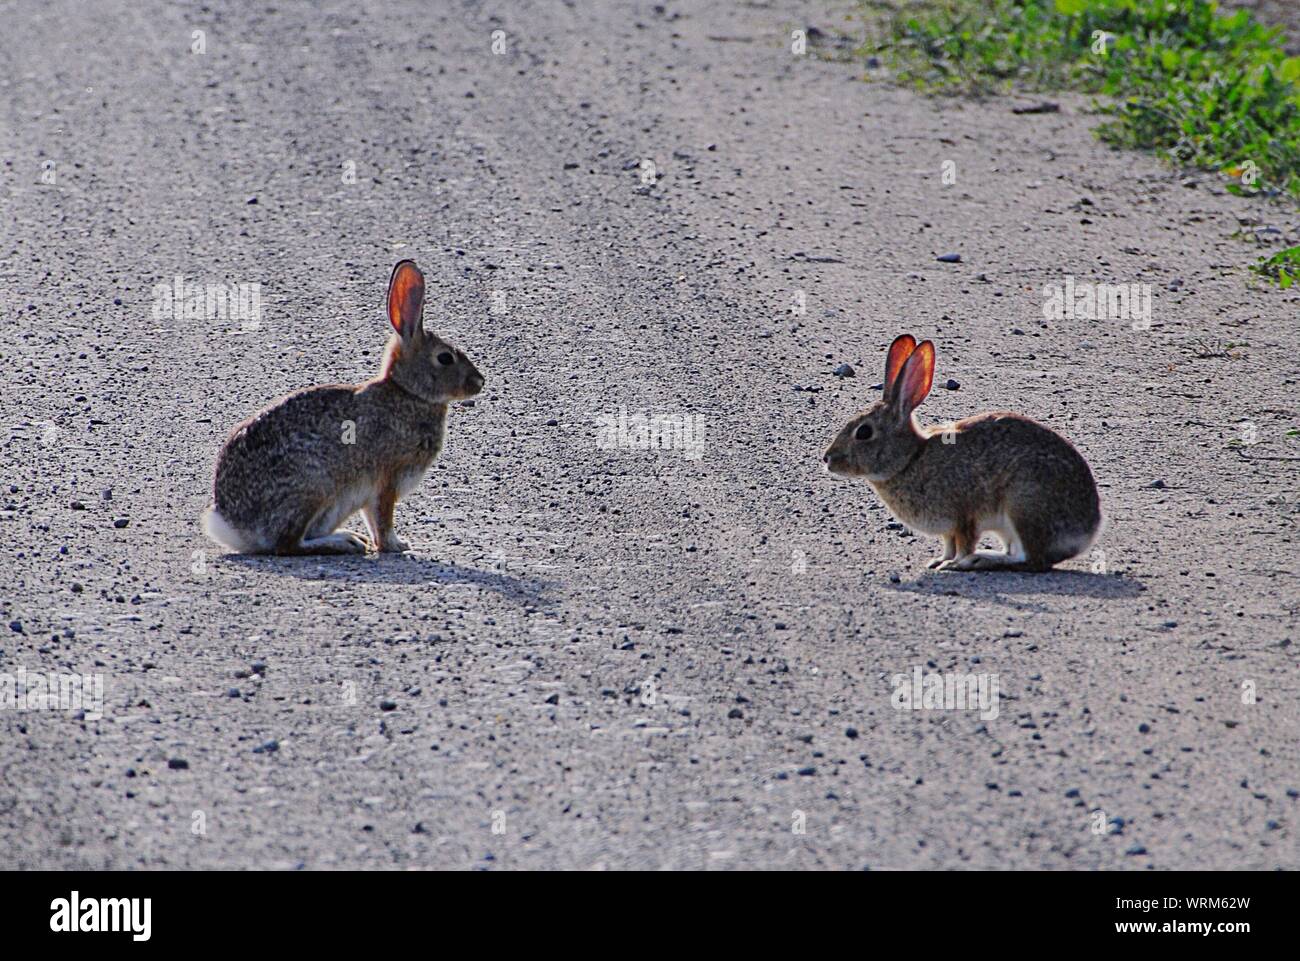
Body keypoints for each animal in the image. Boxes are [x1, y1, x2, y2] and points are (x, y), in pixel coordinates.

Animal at [201, 259, 484, 555]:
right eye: (445, 358)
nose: (479, 382)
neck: (408, 392)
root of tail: (234, 527)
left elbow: (373, 518)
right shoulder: (386, 480)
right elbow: (382, 518)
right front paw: (396, 545)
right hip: (314, 487)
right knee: (287, 544)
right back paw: (344, 541)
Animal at [823, 334, 1101, 572]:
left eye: (864, 432)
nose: (827, 459)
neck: (910, 460)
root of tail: (1088, 530)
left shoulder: (964, 516)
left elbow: (964, 544)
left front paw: (953, 564)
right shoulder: (949, 528)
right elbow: (948, 545)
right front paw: (939, 561)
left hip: (1023, 504)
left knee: (1031, 560)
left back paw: (980, 560)